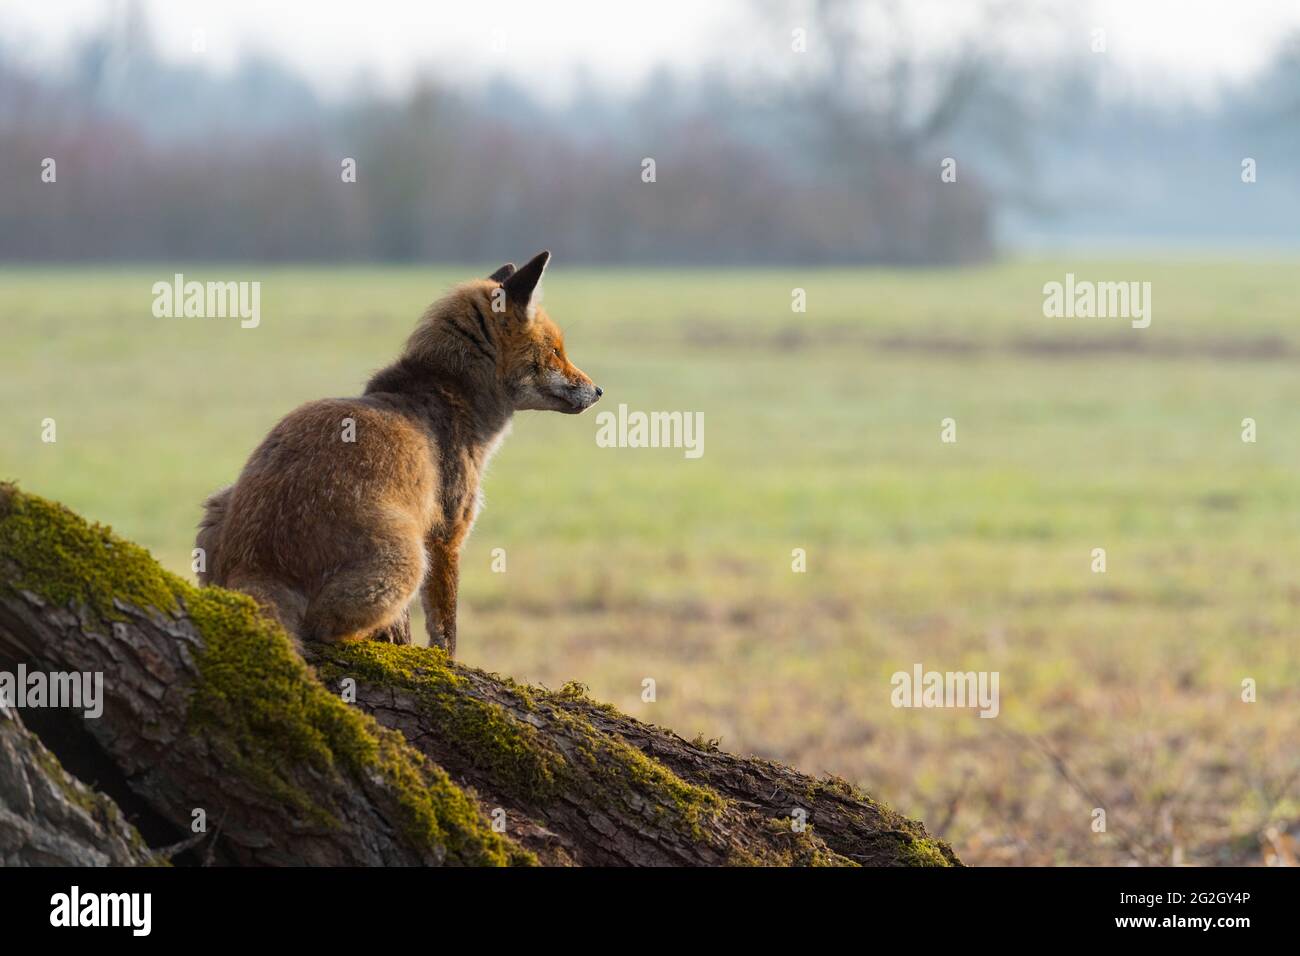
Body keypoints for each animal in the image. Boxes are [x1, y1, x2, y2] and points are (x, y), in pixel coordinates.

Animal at [195, 250, 601, 656]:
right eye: (555, 351)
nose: (599, 391)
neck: (450, 391)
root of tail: (257, 563)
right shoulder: (446, 532)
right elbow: (445, 625)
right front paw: (443, 660)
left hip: (217, 506)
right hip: (408, 558)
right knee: (321, 629)